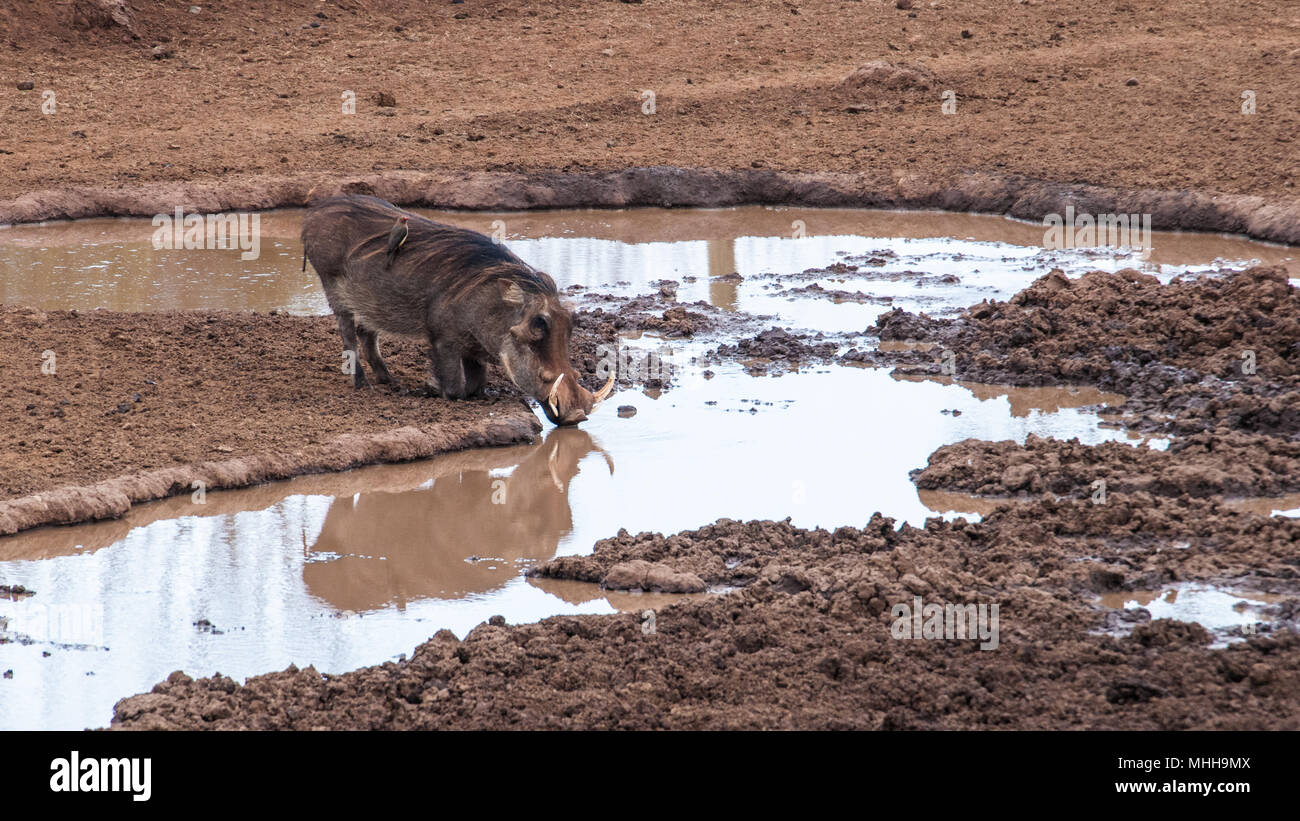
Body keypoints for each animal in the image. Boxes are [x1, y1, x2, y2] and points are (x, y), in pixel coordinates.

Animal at [301, 195, 612, 425]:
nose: (577, 414)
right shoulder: (444, 340)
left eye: (571, 324)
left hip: (369, 300)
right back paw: (363, 385)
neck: (489, 304)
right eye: (536, 327)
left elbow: (475, 384)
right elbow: (454, 388)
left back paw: (390, 380)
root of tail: (314, 212)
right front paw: (432, 386)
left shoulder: (474, 347)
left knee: (368, 335)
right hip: (334, 289)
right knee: (349, 336)